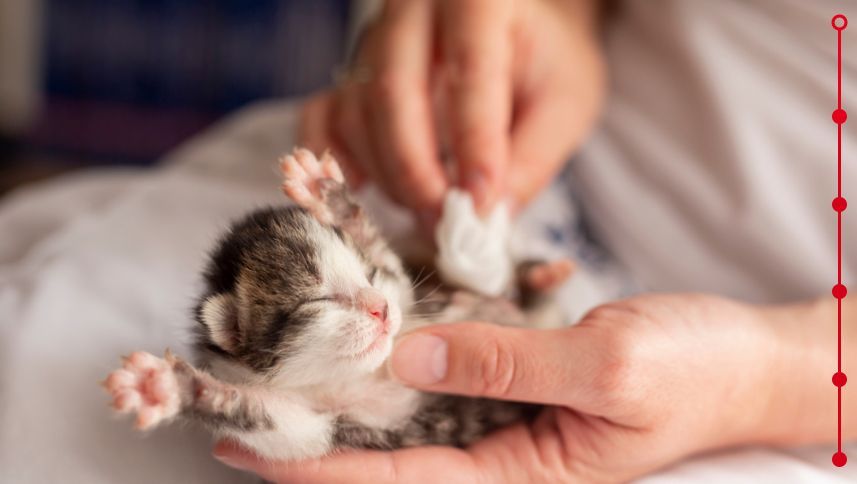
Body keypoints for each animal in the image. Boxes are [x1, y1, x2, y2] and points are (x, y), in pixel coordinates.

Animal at [102, 149, 568, 460]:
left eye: (369, 276)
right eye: (321, 299)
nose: (381, 308)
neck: (357, 374)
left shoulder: (405, 295)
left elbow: (392, 264)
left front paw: (329, 196)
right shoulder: (315, 427)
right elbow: (270, 419)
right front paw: (167, 386)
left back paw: (537, 276)